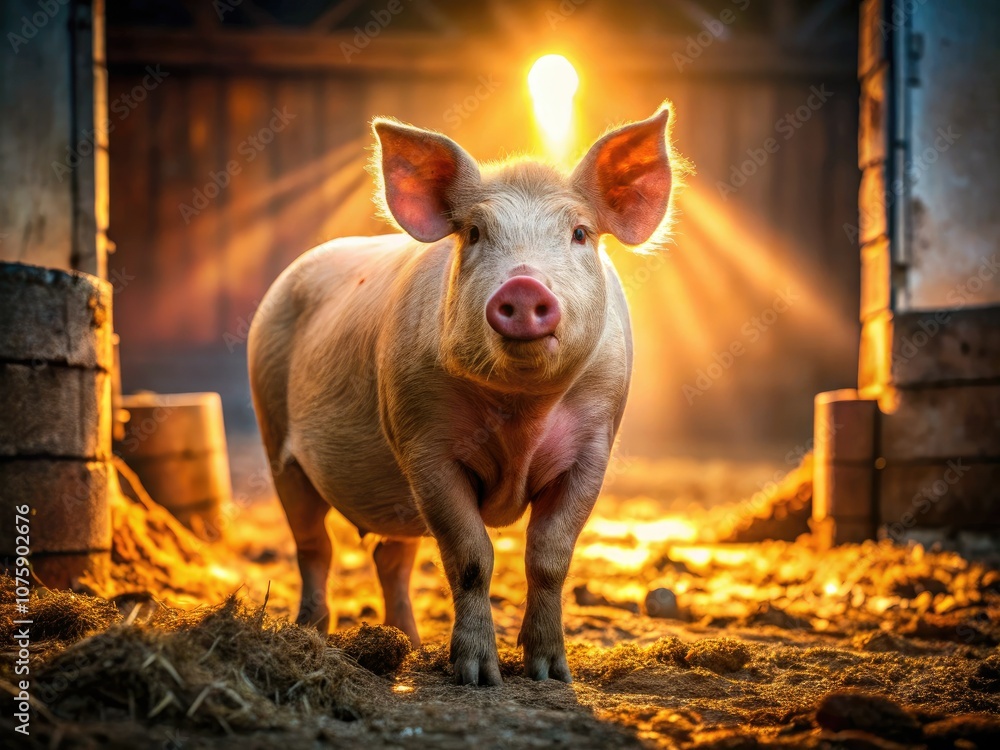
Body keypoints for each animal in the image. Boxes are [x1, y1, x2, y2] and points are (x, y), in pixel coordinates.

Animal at [247, 104, 678, 686]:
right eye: (474, 232)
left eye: (580, 233)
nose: (524, 286)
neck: (522, 412)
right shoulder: (425, 446)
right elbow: (472, 557)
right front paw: (477, 676)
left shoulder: (593, 451)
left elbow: (550, 557)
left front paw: (550, 674)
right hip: (276, 437)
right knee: (315, 547)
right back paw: (312, 632)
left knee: (389, 558)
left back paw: (406, 644)